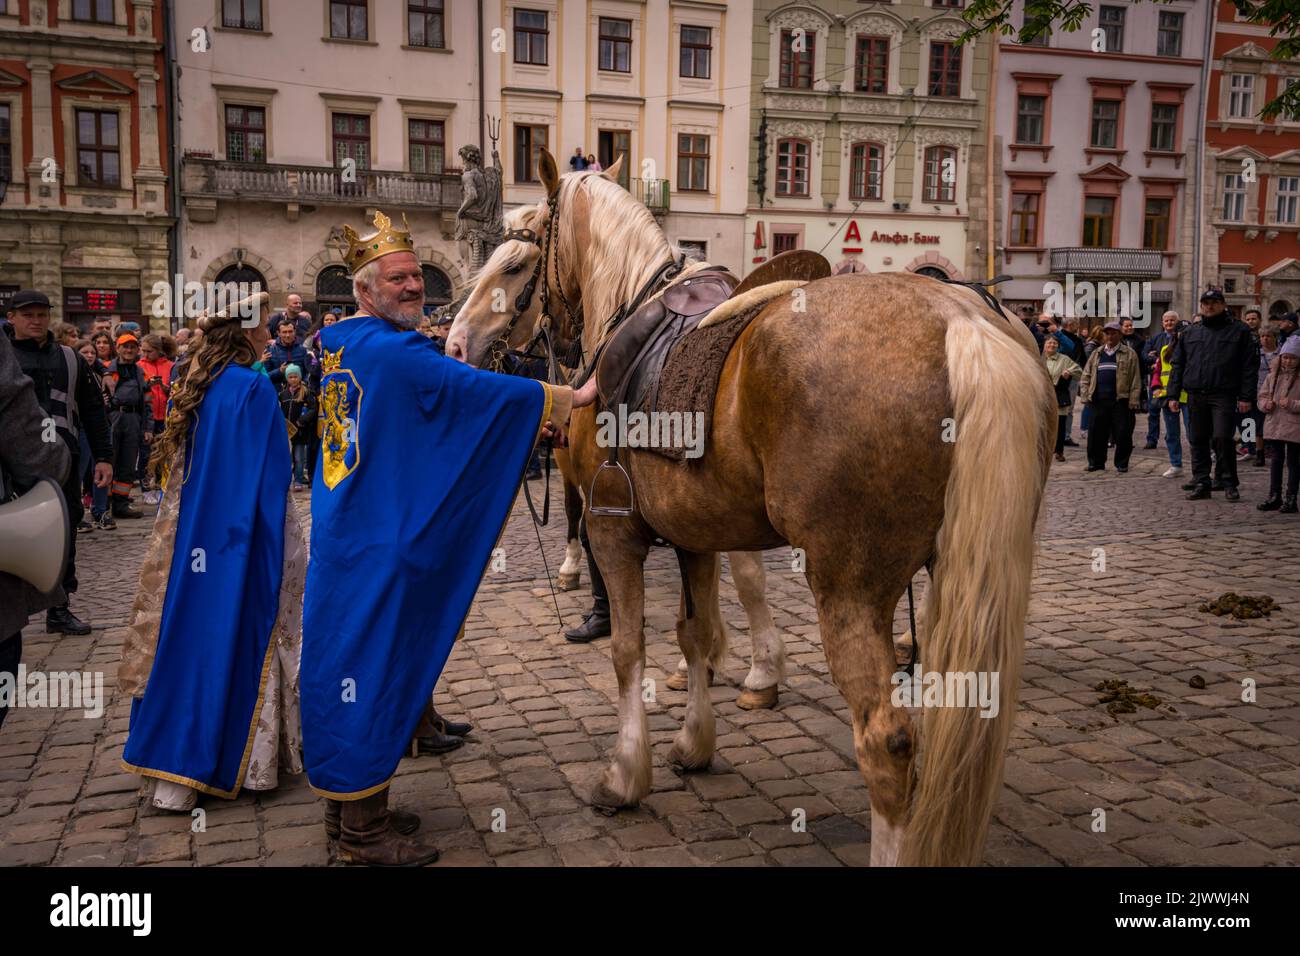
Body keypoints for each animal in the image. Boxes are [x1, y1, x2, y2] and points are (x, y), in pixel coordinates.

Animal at [449, 152, 1055, 865]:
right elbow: (694, 633)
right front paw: (694, 741)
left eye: (514, 265)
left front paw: (626, 774)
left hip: (849, 585)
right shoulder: (692, 533)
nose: (454, 344)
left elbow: (629, 649)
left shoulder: (613, 530)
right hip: (954, 575)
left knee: (887, 740)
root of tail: (960, 319)